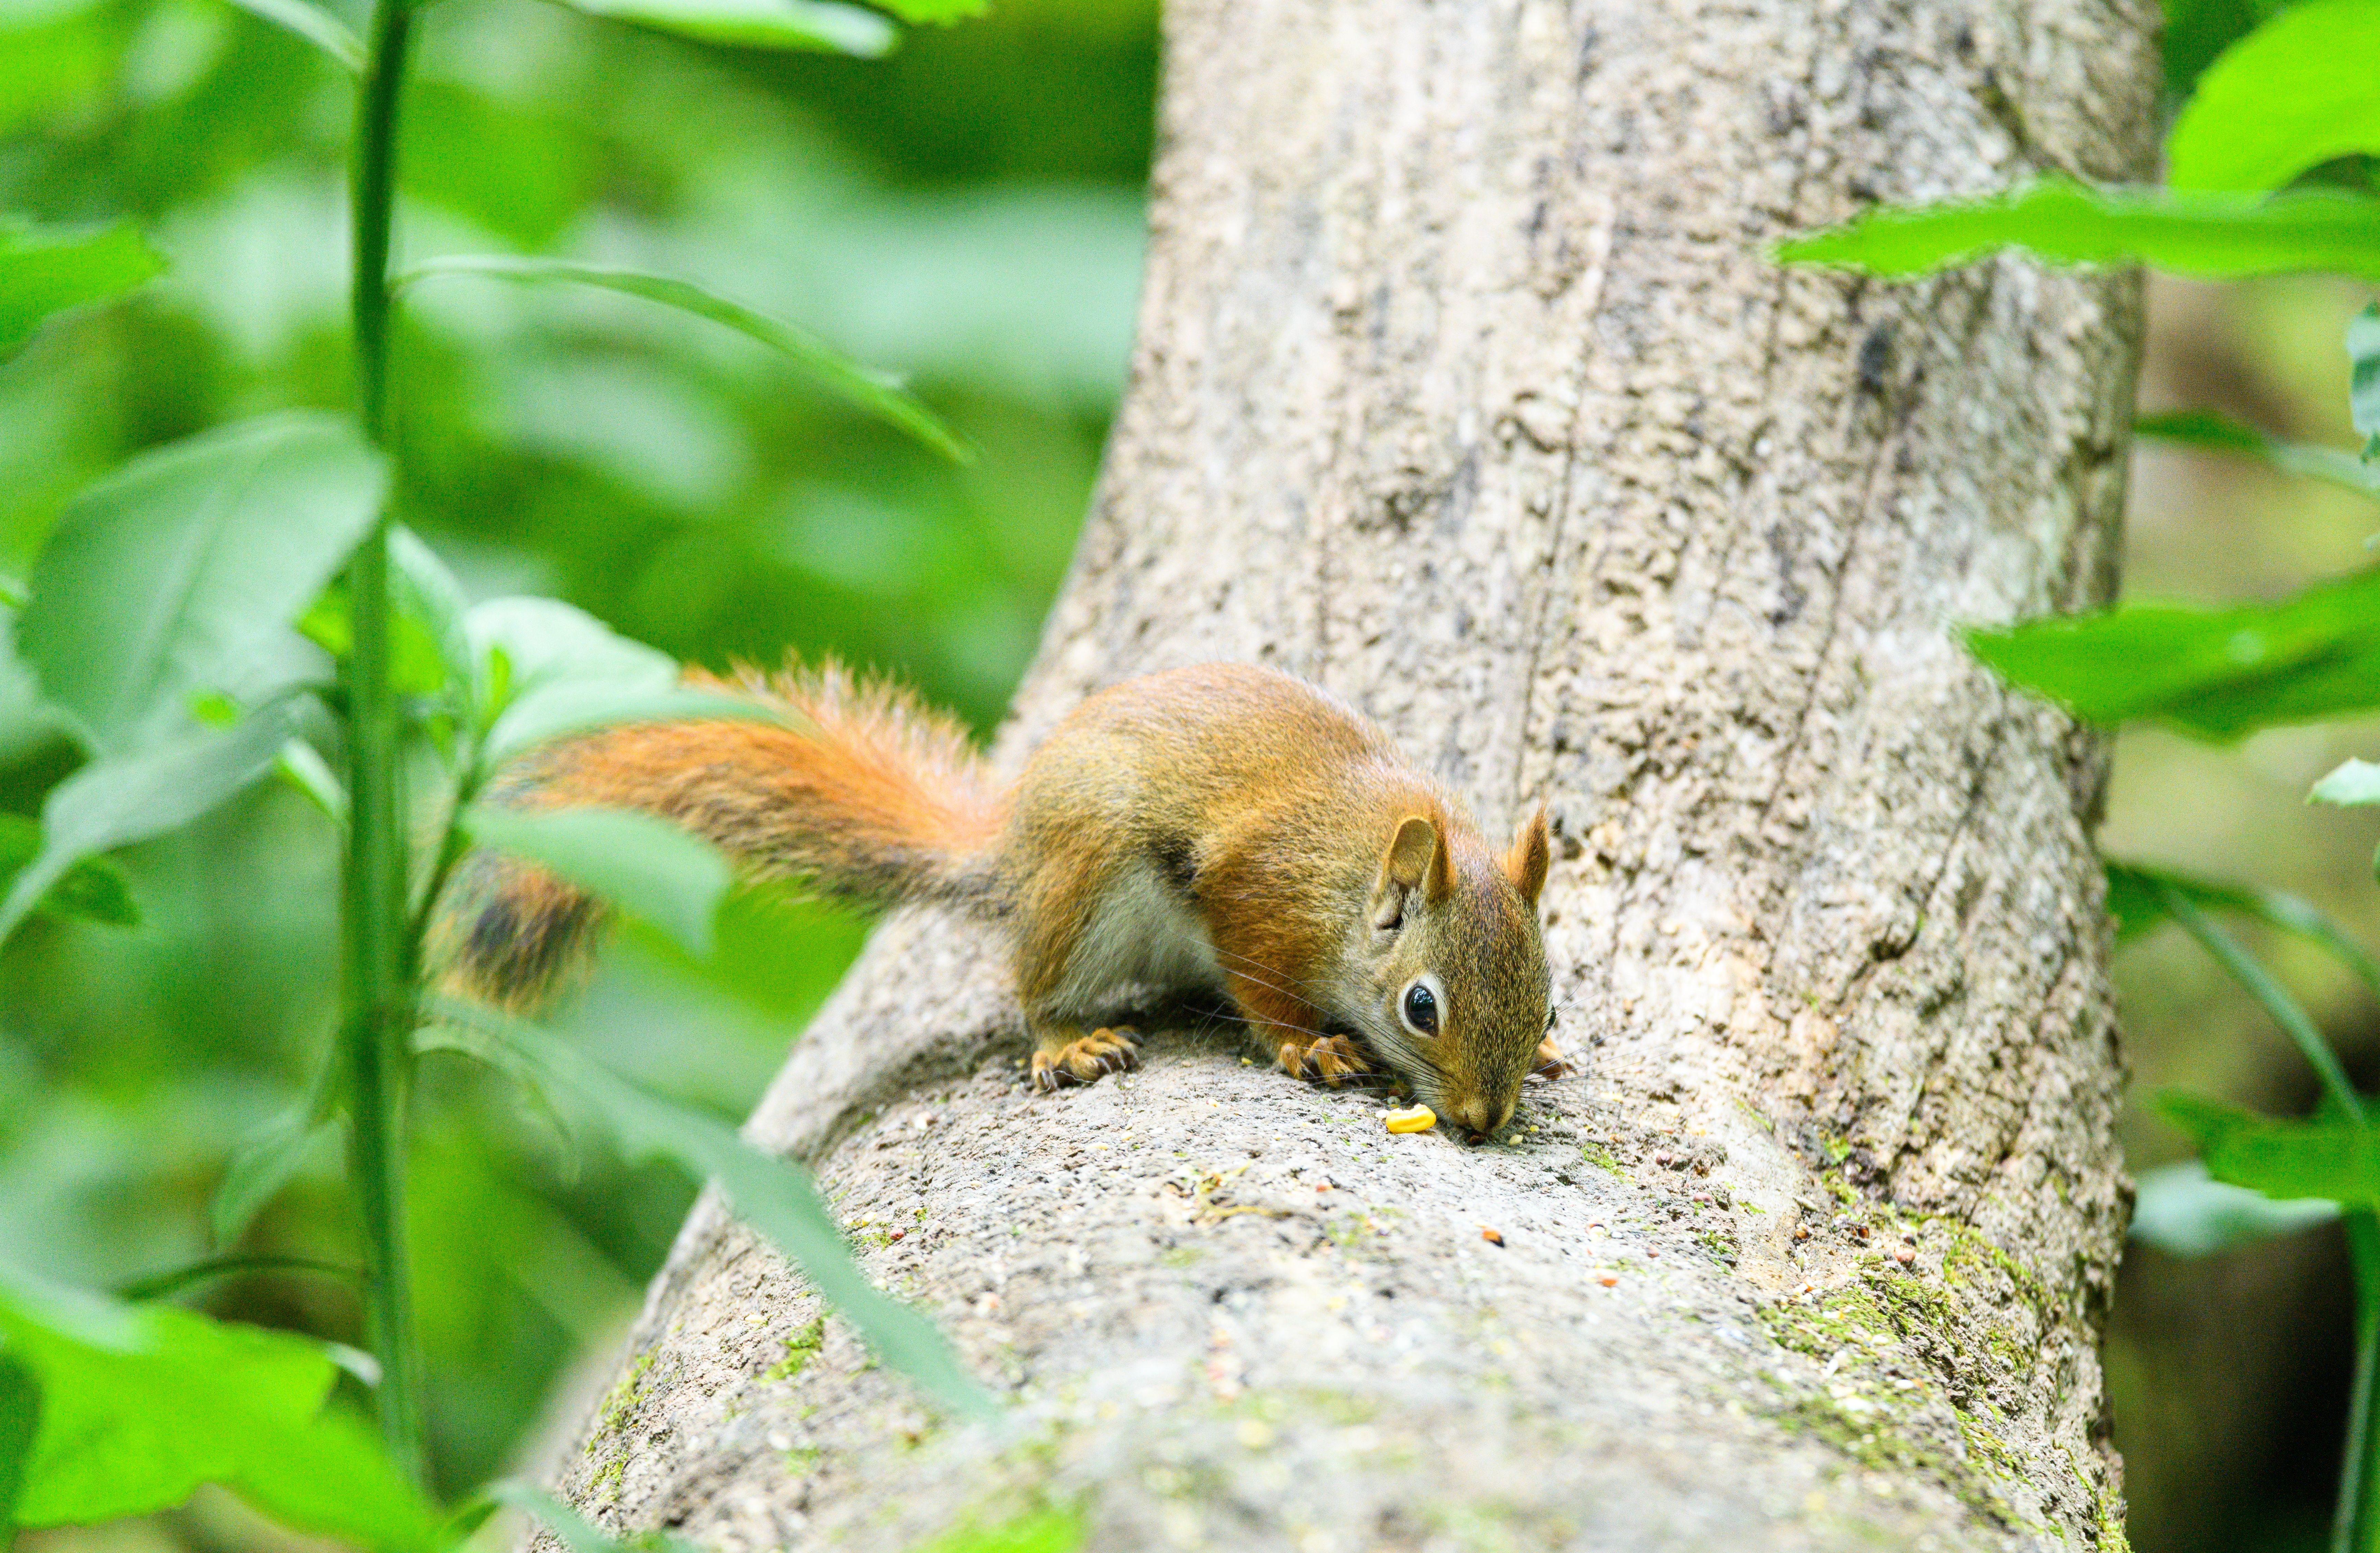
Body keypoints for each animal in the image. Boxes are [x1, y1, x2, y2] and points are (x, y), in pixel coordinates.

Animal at [441, 660, 1567, 1136]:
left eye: (1548, 992)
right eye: (1421, 1007)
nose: (1481, 1121)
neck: (1352, 879)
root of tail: (1014, 853)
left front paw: (1548, 1055)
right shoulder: (1258, 898)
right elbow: (1264, 993)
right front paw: (1311, 1046)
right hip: (1090, 886)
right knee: (1035, 984)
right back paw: (1067, 1041)